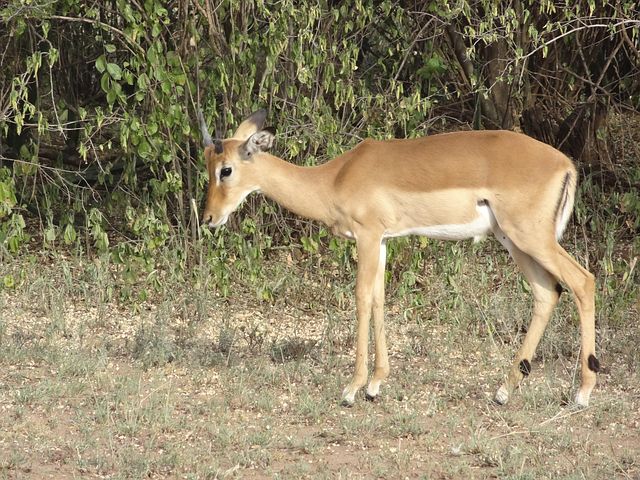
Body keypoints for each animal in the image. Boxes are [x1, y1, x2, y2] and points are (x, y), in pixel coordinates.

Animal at [199, 109, 599, 408]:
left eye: (226, 169)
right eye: (208, 165)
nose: (209, 218)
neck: (333, 179)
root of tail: (566, 164)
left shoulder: (366, 237)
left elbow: (362, 298)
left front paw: (351, 389)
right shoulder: (382, 241)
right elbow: (379, 300)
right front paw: (375, 385)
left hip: (531, 237)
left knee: (582, 281)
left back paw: (581, 392)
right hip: (514, 240)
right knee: (547, 292)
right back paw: (503, 391)